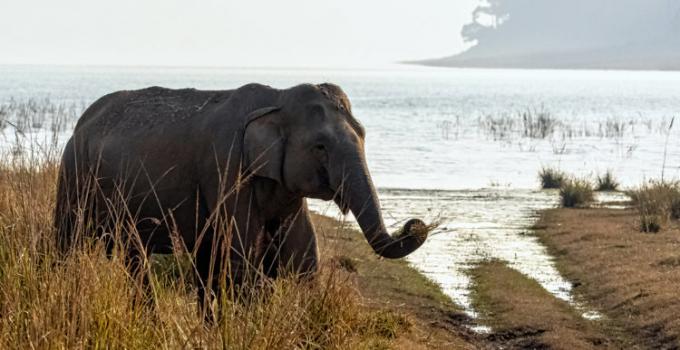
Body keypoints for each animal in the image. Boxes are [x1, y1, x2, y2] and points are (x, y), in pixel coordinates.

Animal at [53, 82, 428, 314]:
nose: (415, 224)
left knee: (138, 255)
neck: (278, 99)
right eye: (320, 146)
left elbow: (301, 262)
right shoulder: (227, 168)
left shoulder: (283, 190)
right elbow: (241, 263)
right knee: (67, 242)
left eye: (363, 134)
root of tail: (82, 120)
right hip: (74, 172)